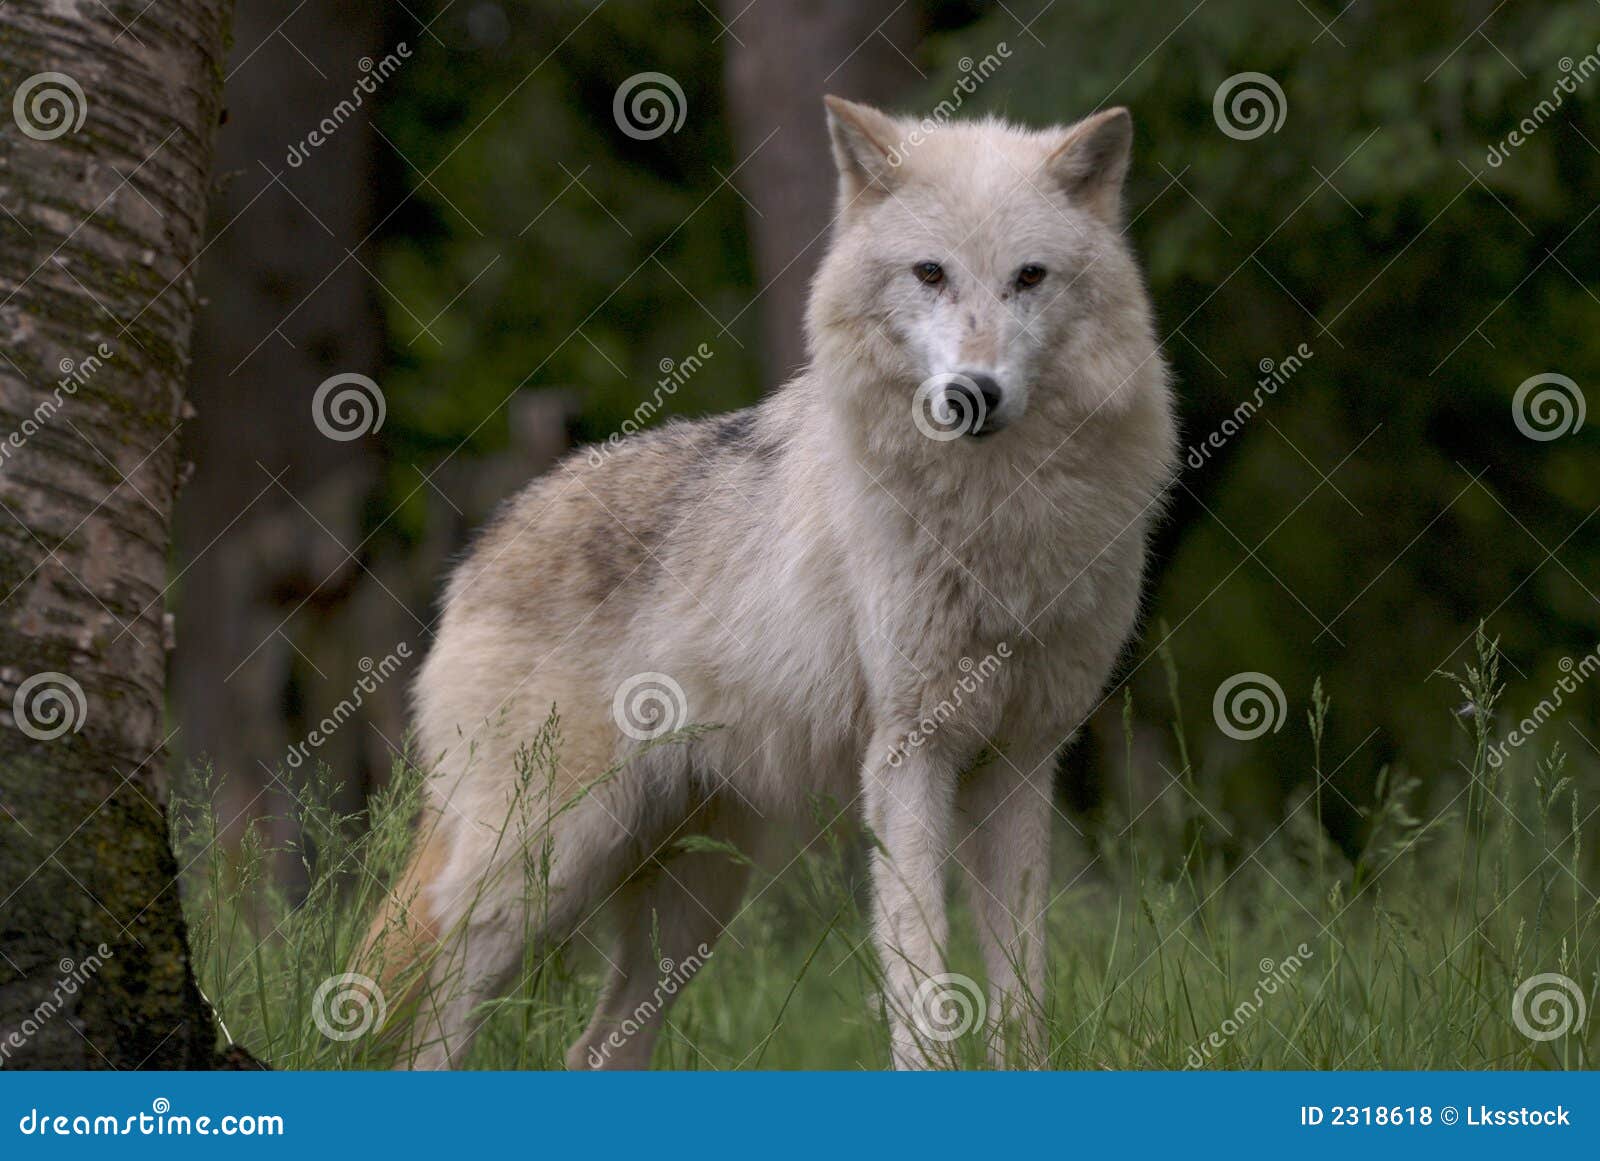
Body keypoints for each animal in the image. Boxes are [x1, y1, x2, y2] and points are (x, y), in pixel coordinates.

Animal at [362, 95, 1177, 1070]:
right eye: (930, 273)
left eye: (1029, 277)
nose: (971, 392)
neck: (998, 516)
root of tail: (483, 544)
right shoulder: (909, 755)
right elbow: (924, 978)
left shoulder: (1022, 760)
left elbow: (1022, 990)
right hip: (538, 871)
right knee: (433, 1025)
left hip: (695, 902)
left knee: (592, 1048)